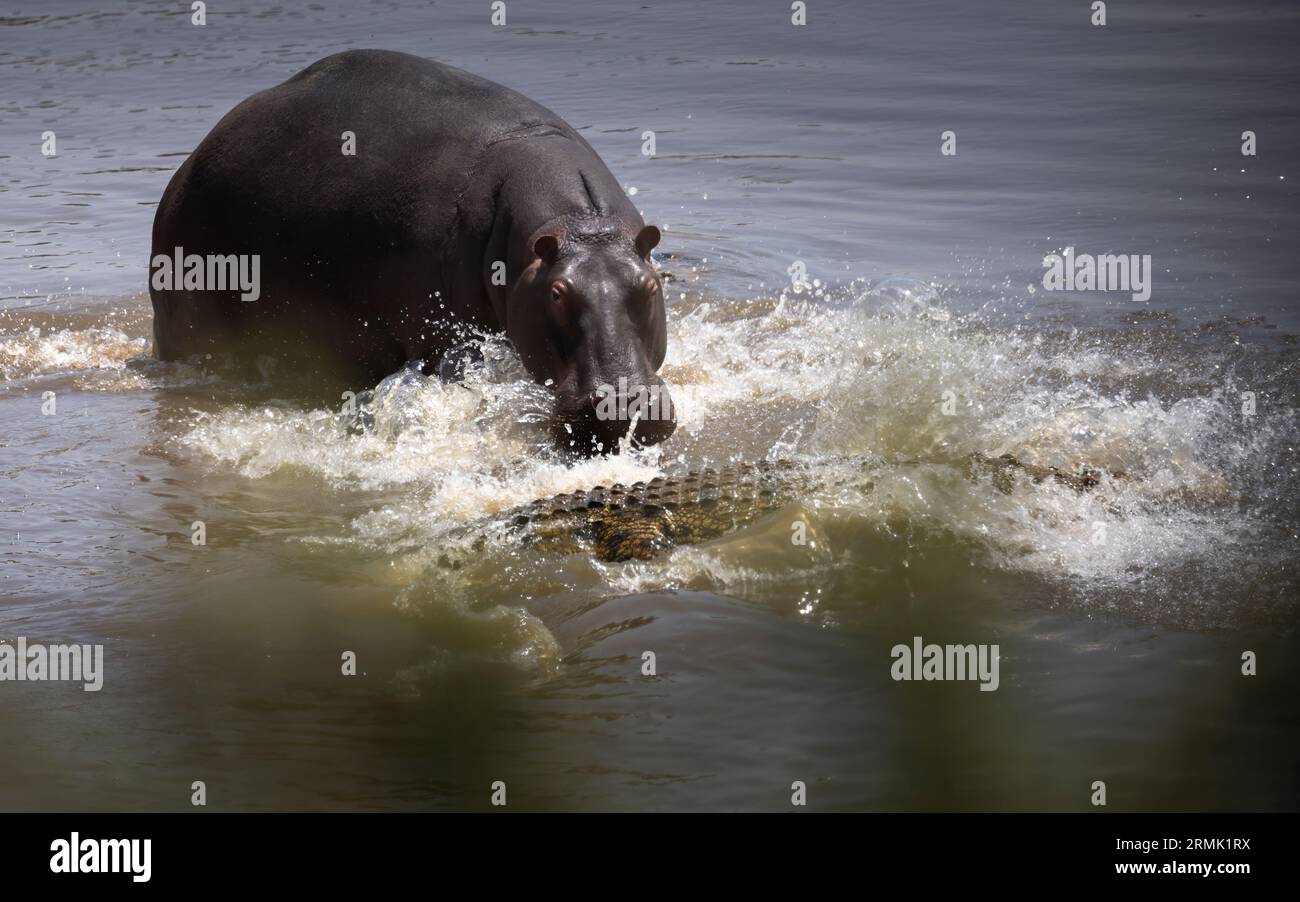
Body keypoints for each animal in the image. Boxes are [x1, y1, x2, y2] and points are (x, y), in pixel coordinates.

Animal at [150, 49, 675, 453]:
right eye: (558, 293)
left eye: (651, 286)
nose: (625, 406)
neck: (580, 225)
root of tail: (187, 166)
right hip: (189, 324)